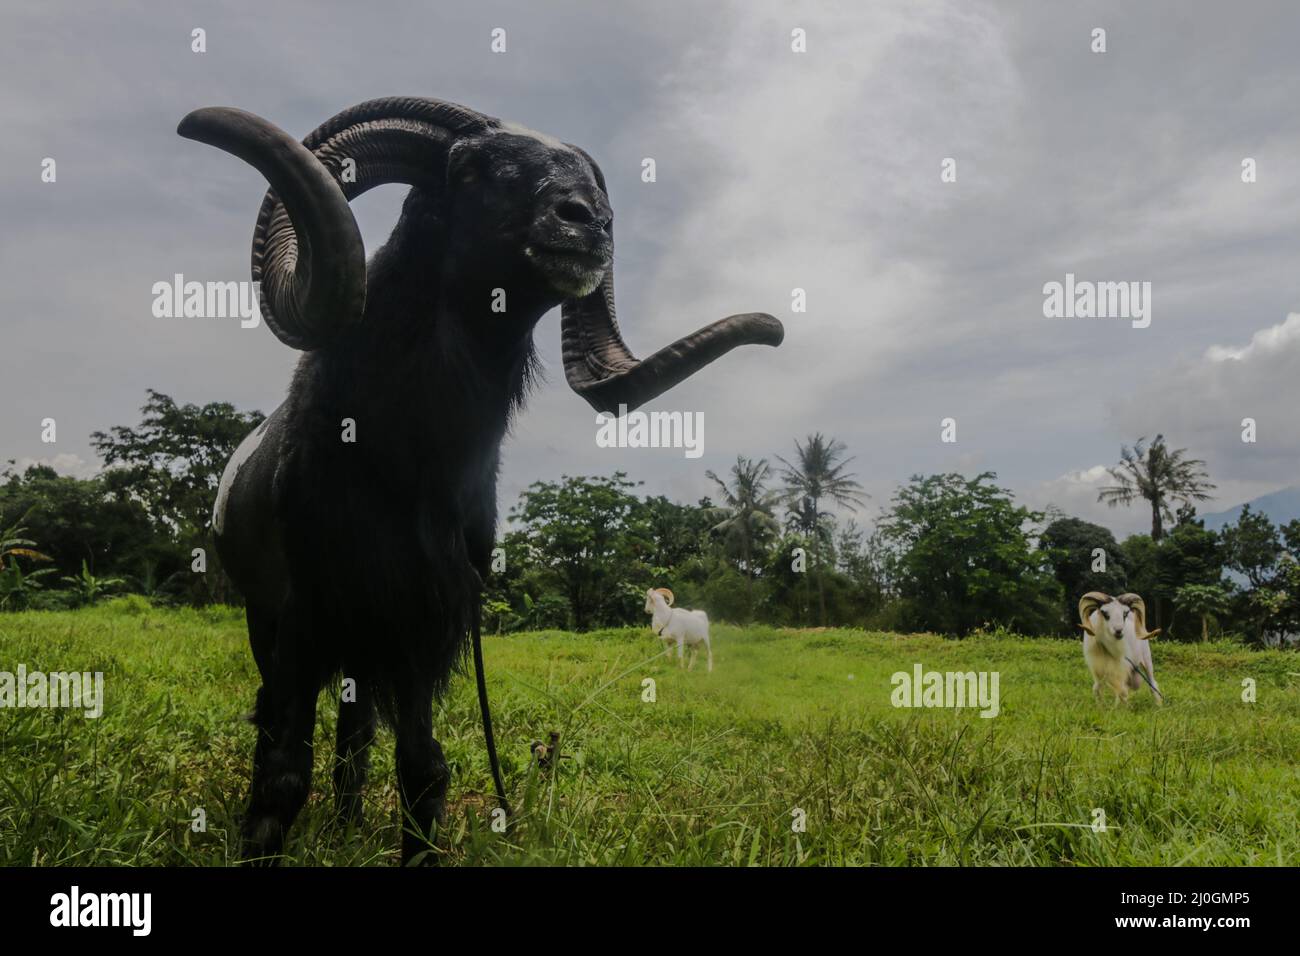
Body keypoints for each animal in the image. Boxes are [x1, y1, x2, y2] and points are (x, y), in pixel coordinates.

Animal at [177, 97, 783, 864]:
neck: (398, 467)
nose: (586, 222)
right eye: (469, 168)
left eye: (593, 183)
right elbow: (282, 767)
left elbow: (422, 764)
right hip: (276, 623)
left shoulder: (424, 623)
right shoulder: (301, 615)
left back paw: (347, 822)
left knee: (355, 735)